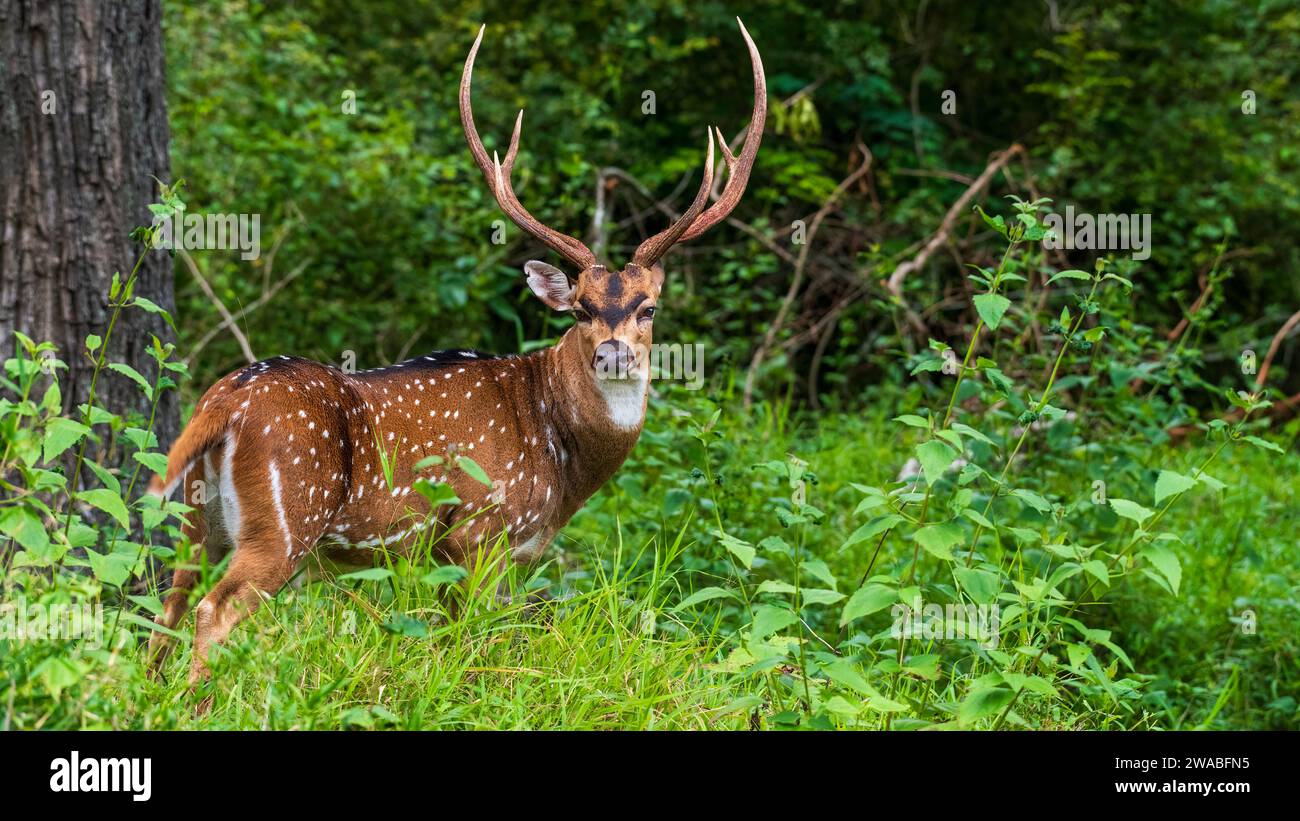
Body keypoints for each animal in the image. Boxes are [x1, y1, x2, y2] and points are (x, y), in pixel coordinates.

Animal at [146, 18, 765, 689]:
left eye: (648, 308)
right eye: (579, 308)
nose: (613, 353)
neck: (561, 459)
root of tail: (225, 401)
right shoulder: (481, 530)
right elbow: (475, 647)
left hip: (197, 519)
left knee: (165, 608)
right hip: (285, 520)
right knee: (212, 610)